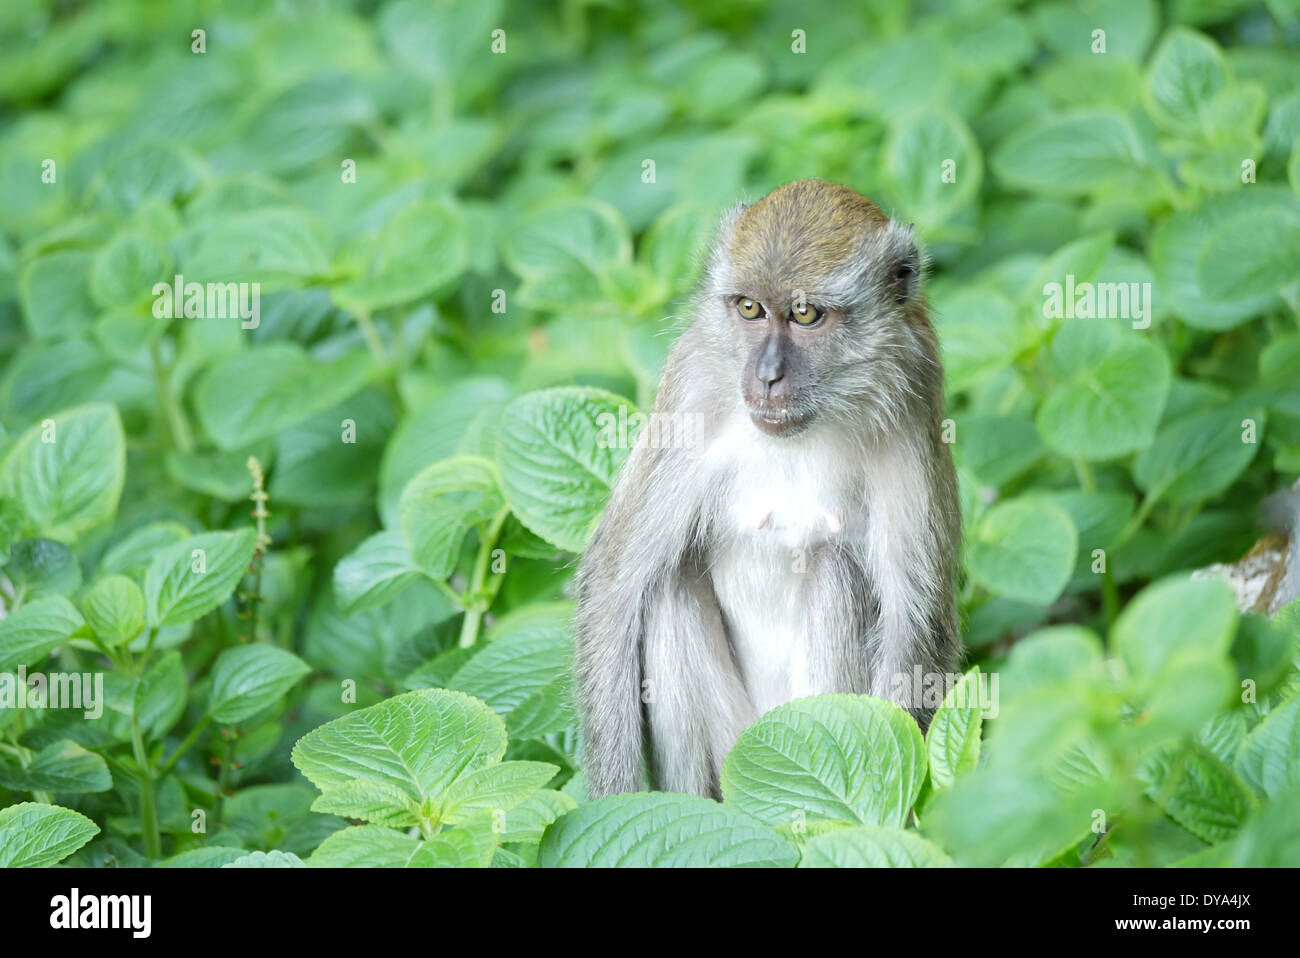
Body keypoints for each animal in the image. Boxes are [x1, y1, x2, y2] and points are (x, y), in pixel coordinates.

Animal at [575, 179, 962, 800]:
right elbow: (614, 585)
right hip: (736, 748)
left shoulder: (914, 395)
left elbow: (915, 620)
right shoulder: (693, 385)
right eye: (750, 308)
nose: (766, 375)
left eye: (805, 314)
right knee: (669, 585)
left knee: (834, 572)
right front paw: (614, 807)